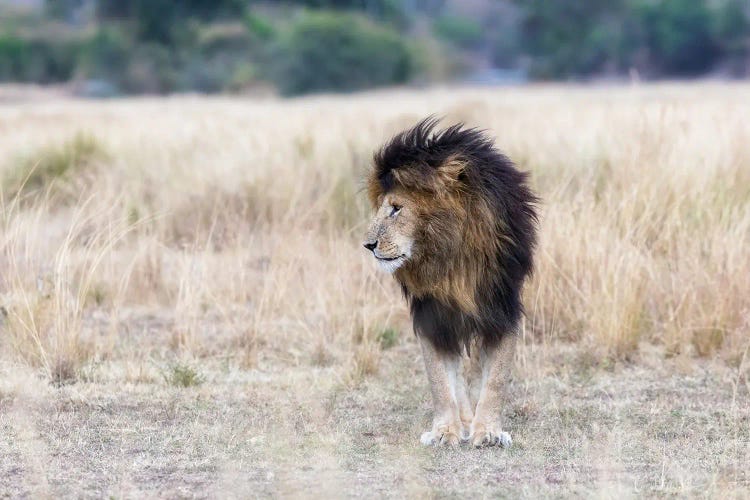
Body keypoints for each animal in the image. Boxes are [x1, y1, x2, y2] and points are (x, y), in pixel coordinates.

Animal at [366, 118, 536, 450]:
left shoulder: (503, 307)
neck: (451, 258)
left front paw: (489, 431)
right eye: (380, 207)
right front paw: (446, 431)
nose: (368, 245)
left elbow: (495, 379)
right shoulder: (431, 316)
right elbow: (440, 381)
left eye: (396, 208)